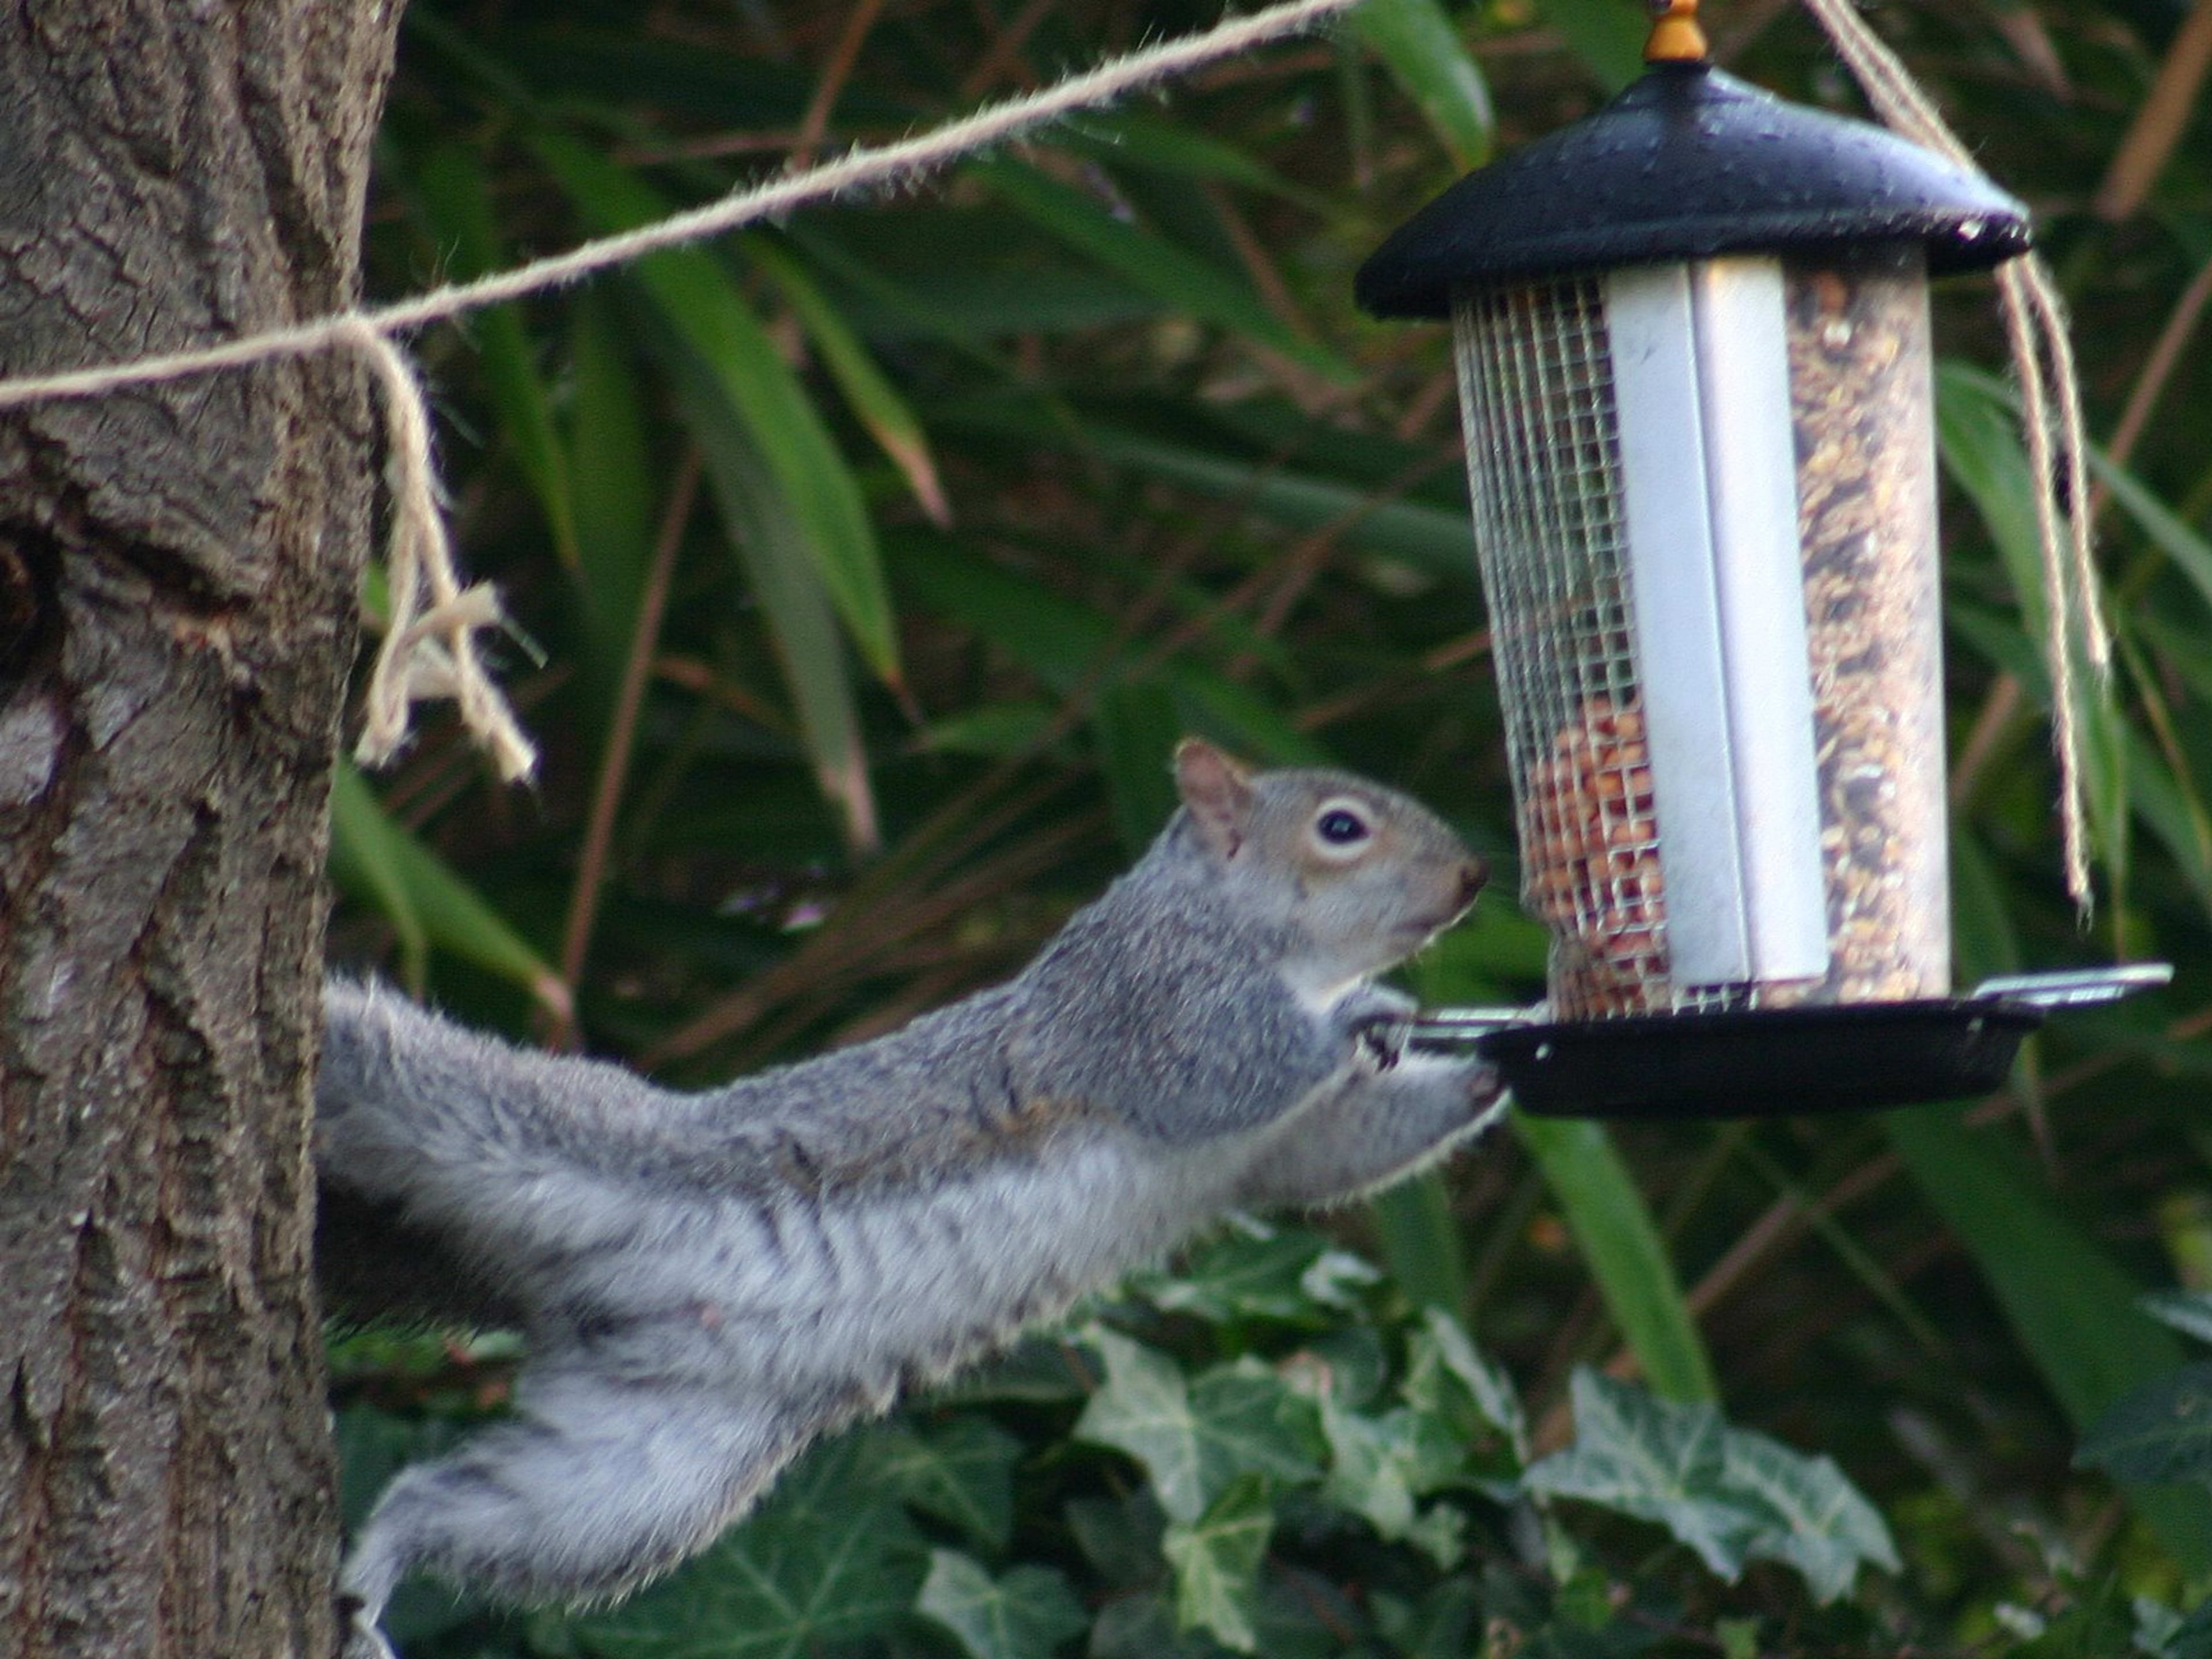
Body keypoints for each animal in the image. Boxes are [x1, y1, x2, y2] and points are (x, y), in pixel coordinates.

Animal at [317, 738, 1499, 1658]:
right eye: (1341, 827)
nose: (1476, 876)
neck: (1243, 931)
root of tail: (569, 1306)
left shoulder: (1277, 1151)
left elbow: (1331, 1154)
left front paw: (1494, 1068)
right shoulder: (1142, 1012)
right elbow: (1223, 1071)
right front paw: (1367, 1014)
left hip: (635, 1481)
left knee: (456, 1501)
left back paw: (378, 1568)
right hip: (511, 1131)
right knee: (385, 1067)